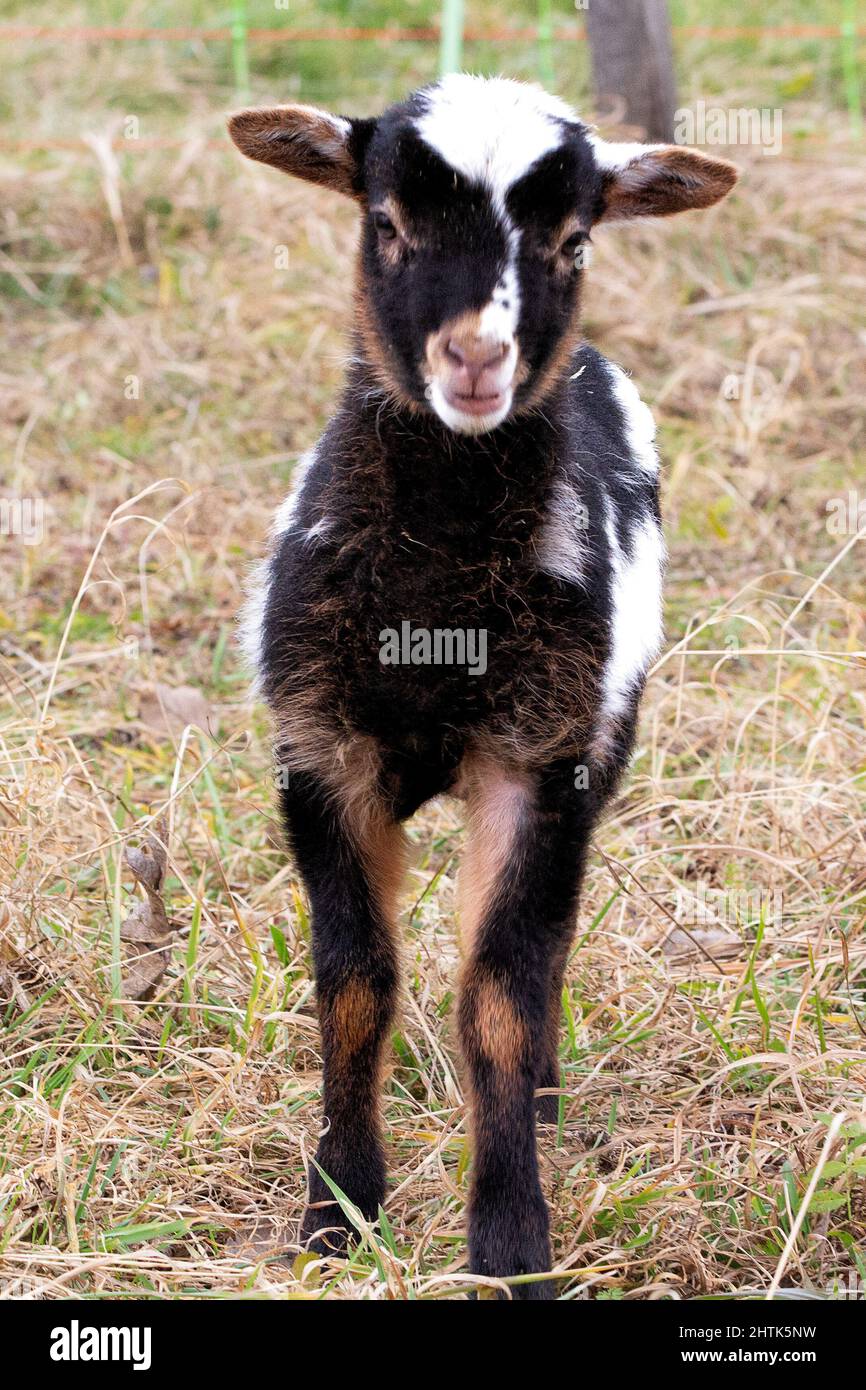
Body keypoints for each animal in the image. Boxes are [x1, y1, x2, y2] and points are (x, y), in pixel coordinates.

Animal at [228, 74, 737, 1299]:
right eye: (386, 222)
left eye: (573, 240)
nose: (474, 359)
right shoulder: (319, 755)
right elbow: (355, 984)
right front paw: (338, 1212)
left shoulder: (534, 763)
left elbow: (499, 995)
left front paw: (509, 1245)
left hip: (602, 737)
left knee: (546, 950)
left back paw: (544, 1104)